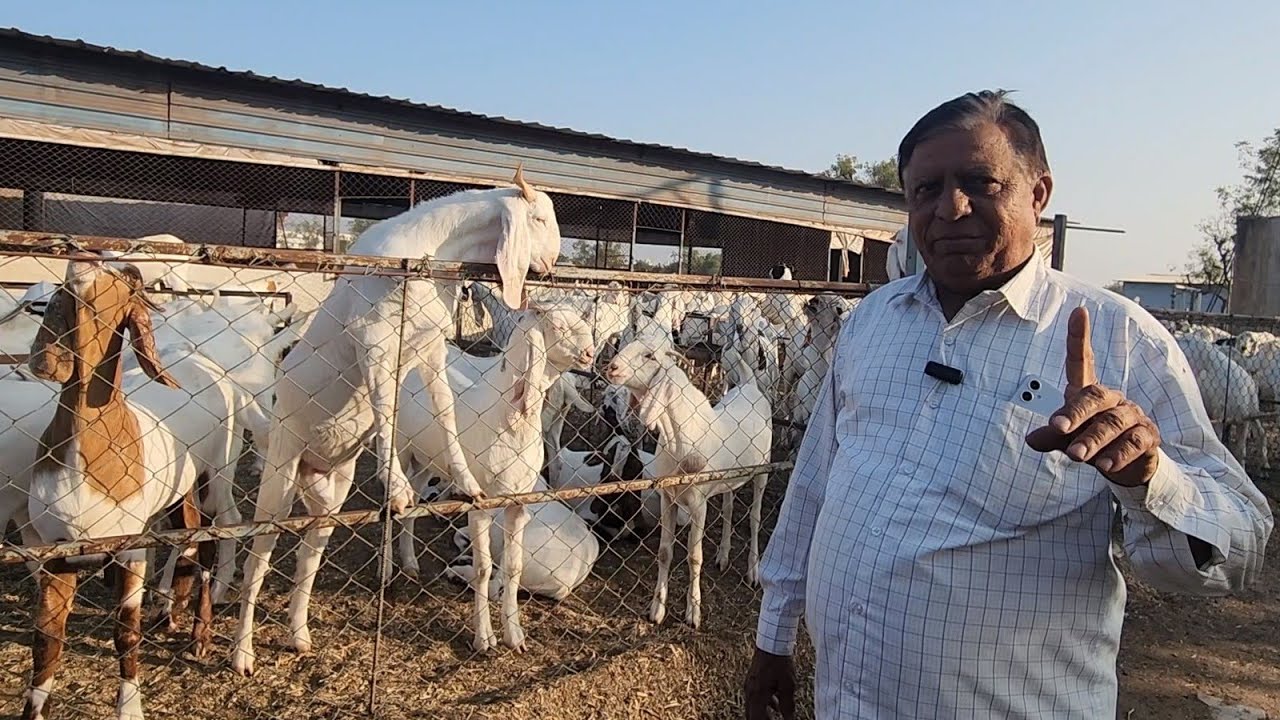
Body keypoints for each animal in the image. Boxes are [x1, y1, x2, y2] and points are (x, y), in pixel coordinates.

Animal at [22, 259, 214, 720]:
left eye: (117, 286)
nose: (83, 260)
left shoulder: (130, 548)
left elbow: (126, 632)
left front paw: (130, 707)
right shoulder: (55, 551)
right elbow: (46, 639)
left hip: (211, 476)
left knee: (210, 543)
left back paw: (200, 637)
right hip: (179, 495)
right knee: (186, 537)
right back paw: (172, 612)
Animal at [231, 167, 561, 675]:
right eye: (539, 218)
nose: (553, 263)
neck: (427, 250)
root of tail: (308, 467)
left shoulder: (428, 348)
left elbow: (445, 414)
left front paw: (468, 482)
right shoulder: (375, 346)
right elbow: (384, 410)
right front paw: (400, 489)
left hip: (331, 489)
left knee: (309, 554)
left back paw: (299, 635)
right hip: (280, 468)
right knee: (258, 557)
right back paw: (243, 655)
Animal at [604, 328, 772, 628]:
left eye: (649, 355)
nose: (612, 367)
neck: (681, 438)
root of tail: (750, 386)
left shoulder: (698, 503)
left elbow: (694, 557)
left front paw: (693, 613)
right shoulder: (667, 497)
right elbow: (664, 552)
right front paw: (656, 610)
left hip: (762, 472)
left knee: (754, 518)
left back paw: (752, 572)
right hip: (730, 479)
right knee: (729, 508)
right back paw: (723, 556)